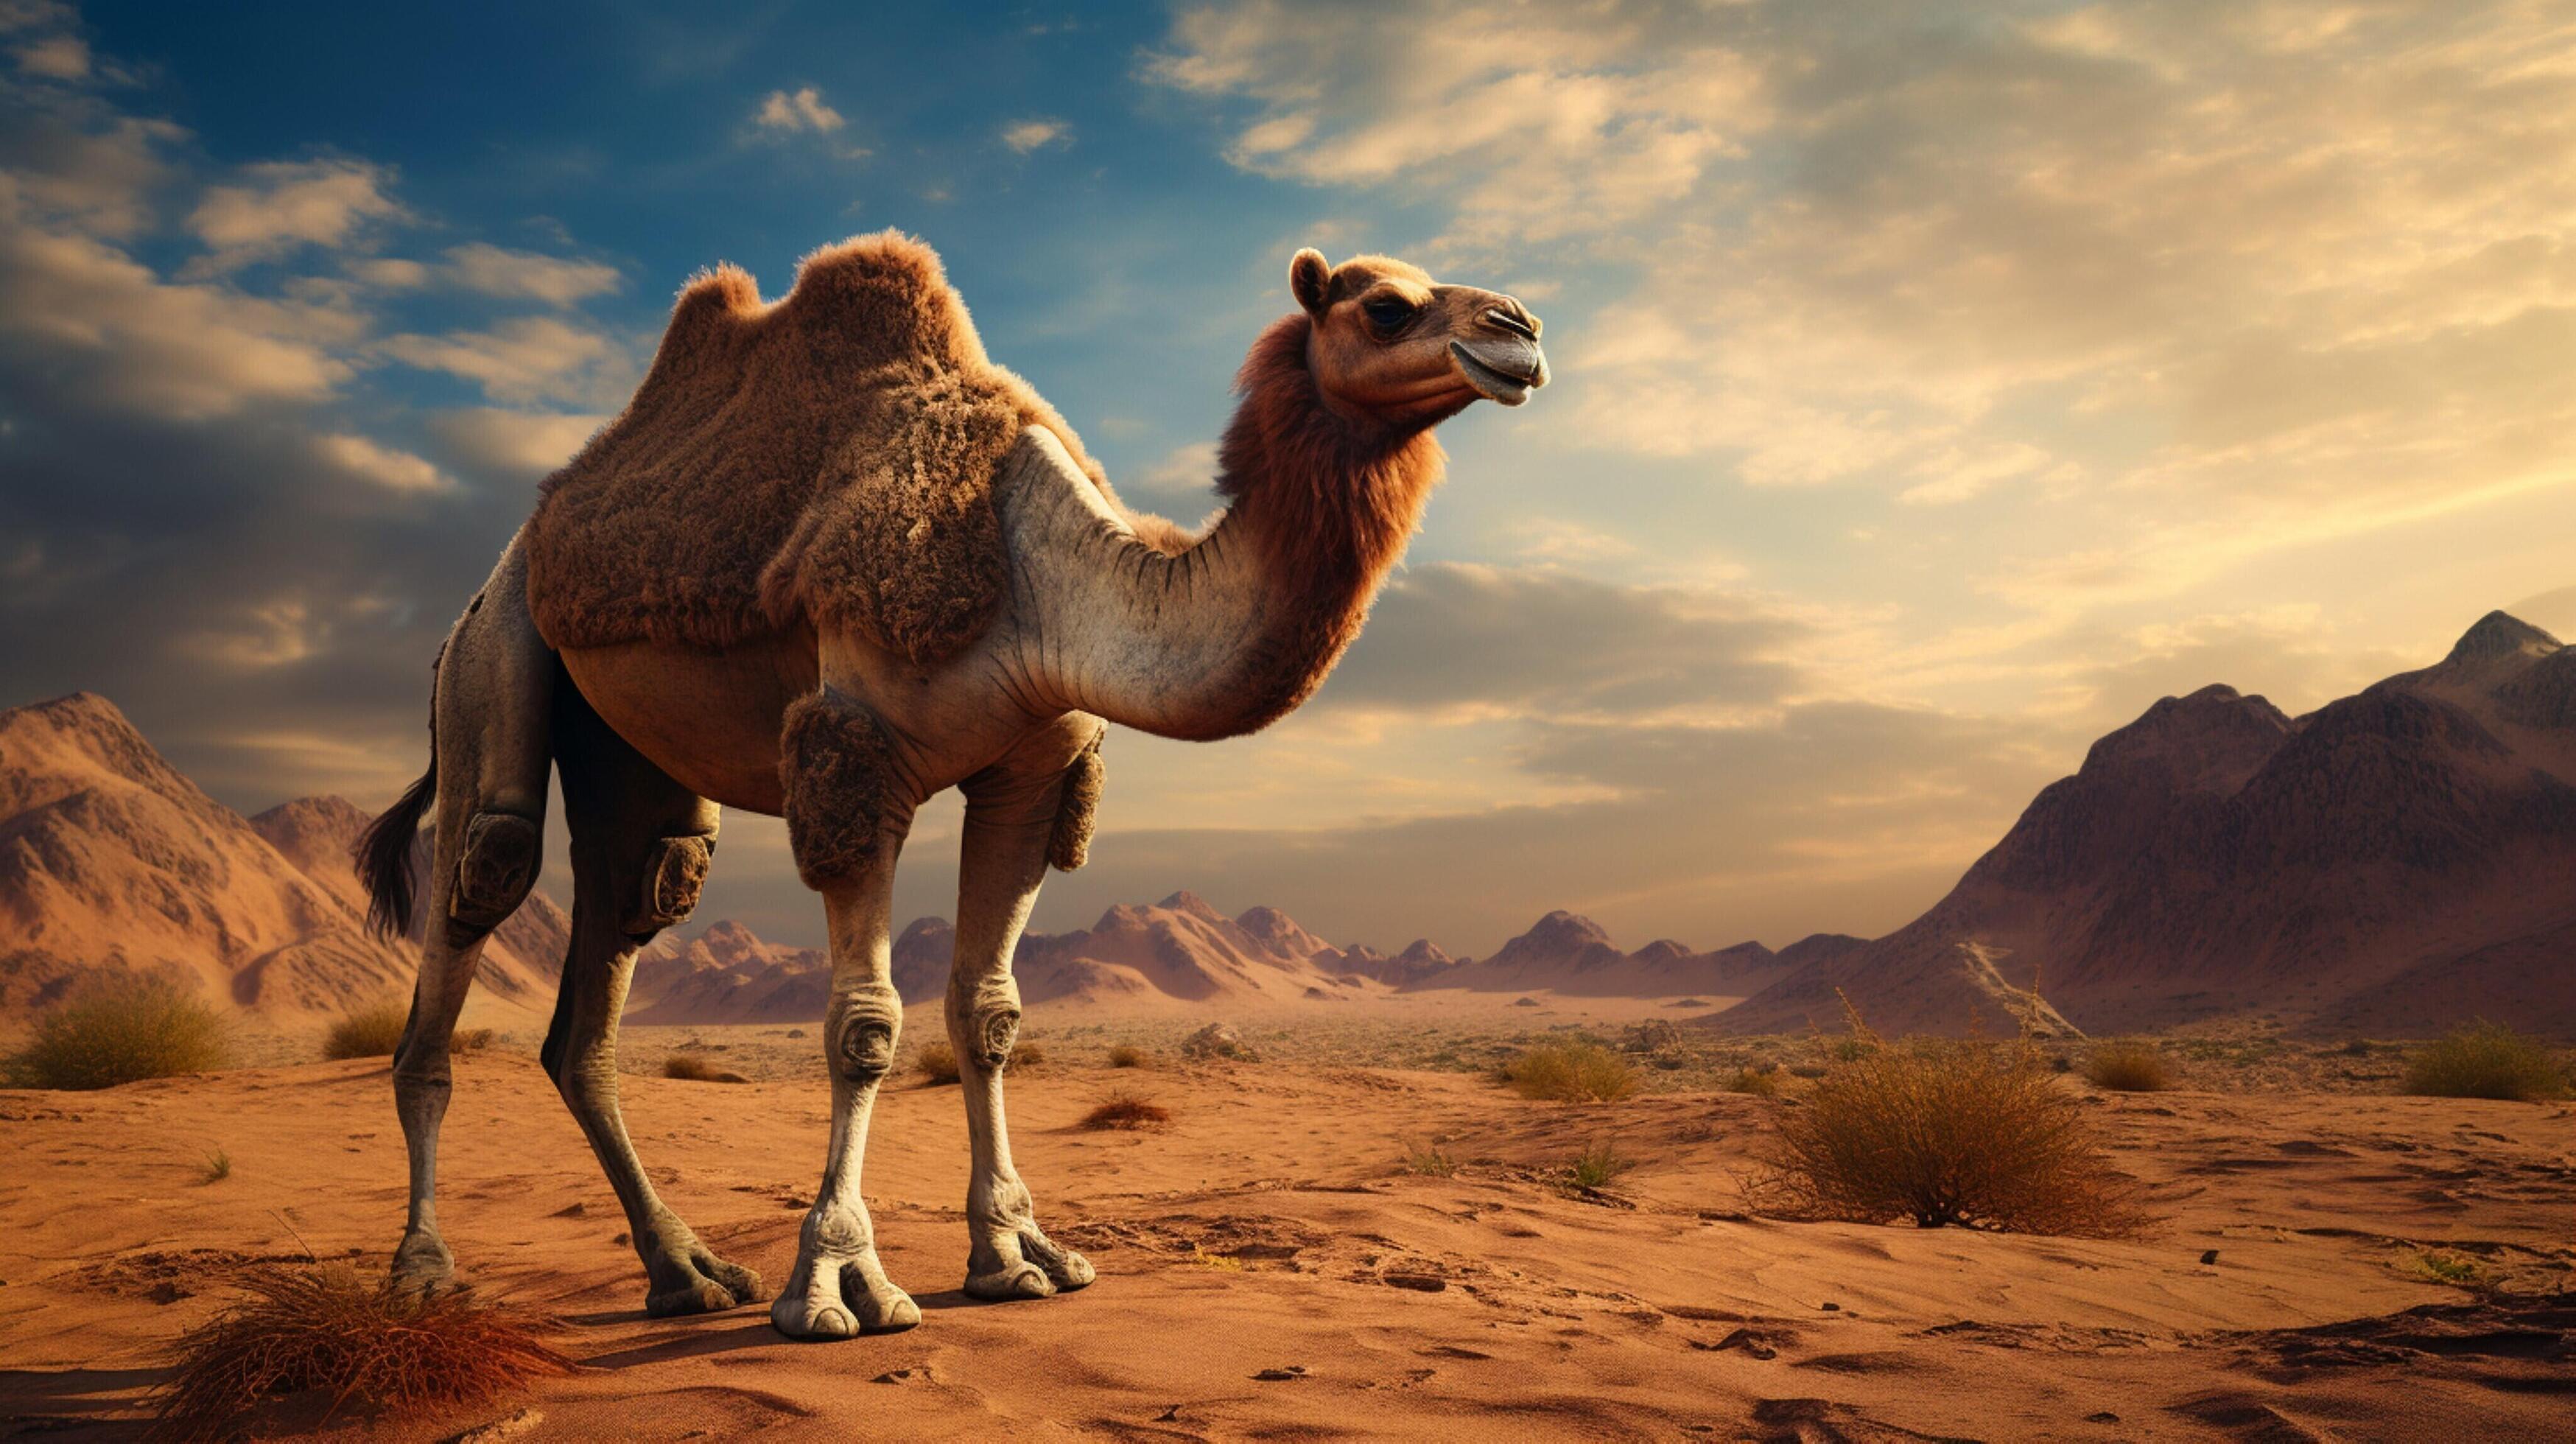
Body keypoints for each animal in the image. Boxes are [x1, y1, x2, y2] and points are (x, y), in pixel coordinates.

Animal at [355, 233, 1546, 1340]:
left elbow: (989, 1011)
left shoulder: (1034, 770)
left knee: (617, 945)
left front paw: (1020, 1254)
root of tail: (508, 561)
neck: (1043, 575)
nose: (1521, 329)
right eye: (1384, 306)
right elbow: (864, 1025)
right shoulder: (854, 756)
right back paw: (424, 1273)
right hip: (492, 662)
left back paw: (684, 1272)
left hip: (630, 766)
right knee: (486, 872)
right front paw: (838, 1283)